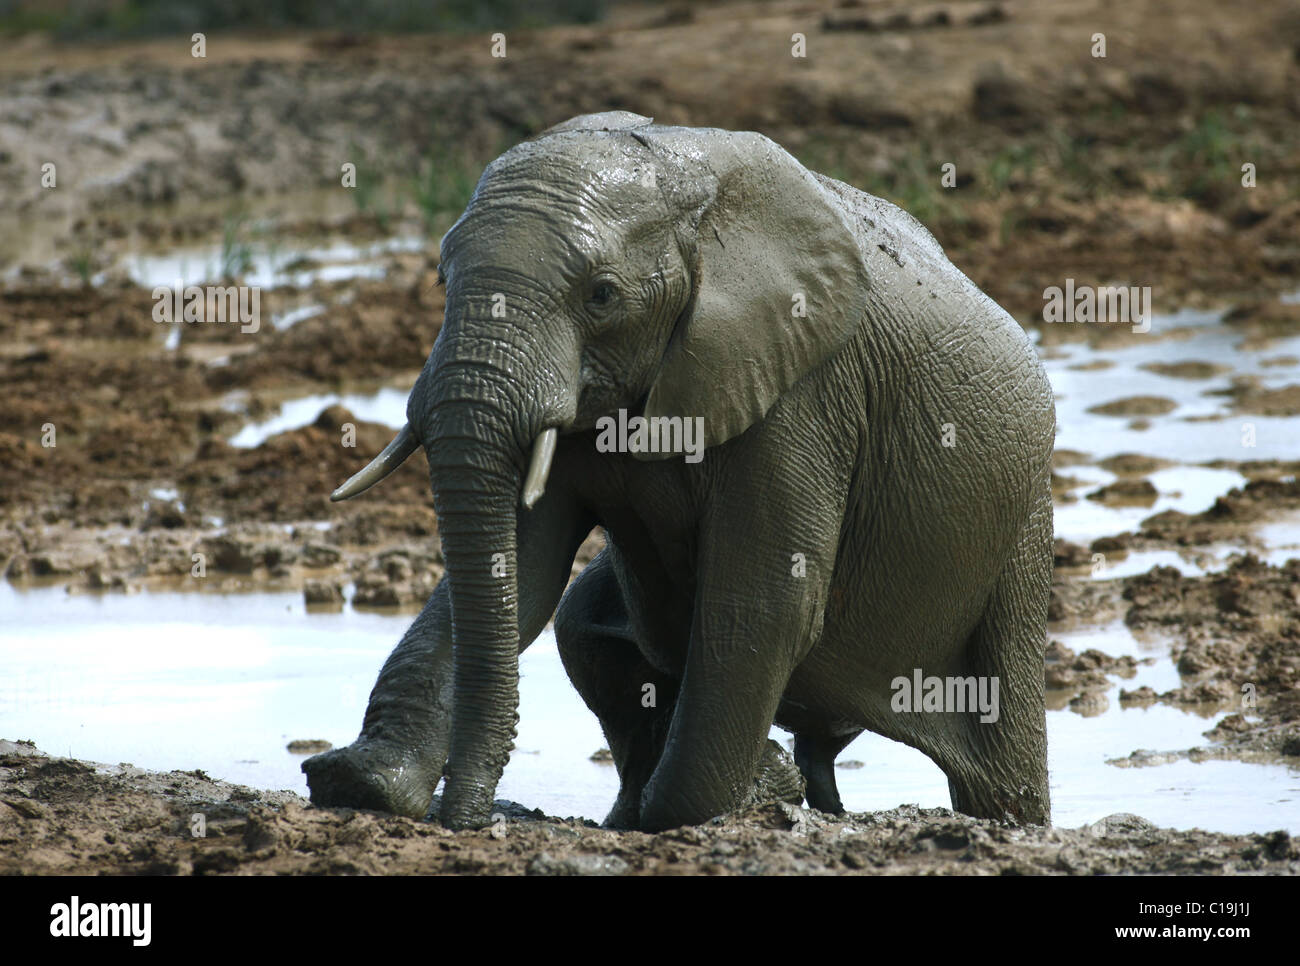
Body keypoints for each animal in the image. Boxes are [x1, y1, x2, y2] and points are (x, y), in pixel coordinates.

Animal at [302, 111, 1055, 832]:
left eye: (602, 296)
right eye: (442, 280)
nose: (468, 821)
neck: (683, 184)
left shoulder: (803, 390)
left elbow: (761, 602)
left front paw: (724, 802)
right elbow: (523, 566)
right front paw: (360, 783)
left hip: (1020, 533)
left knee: (1001, 757)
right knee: (582, 624)